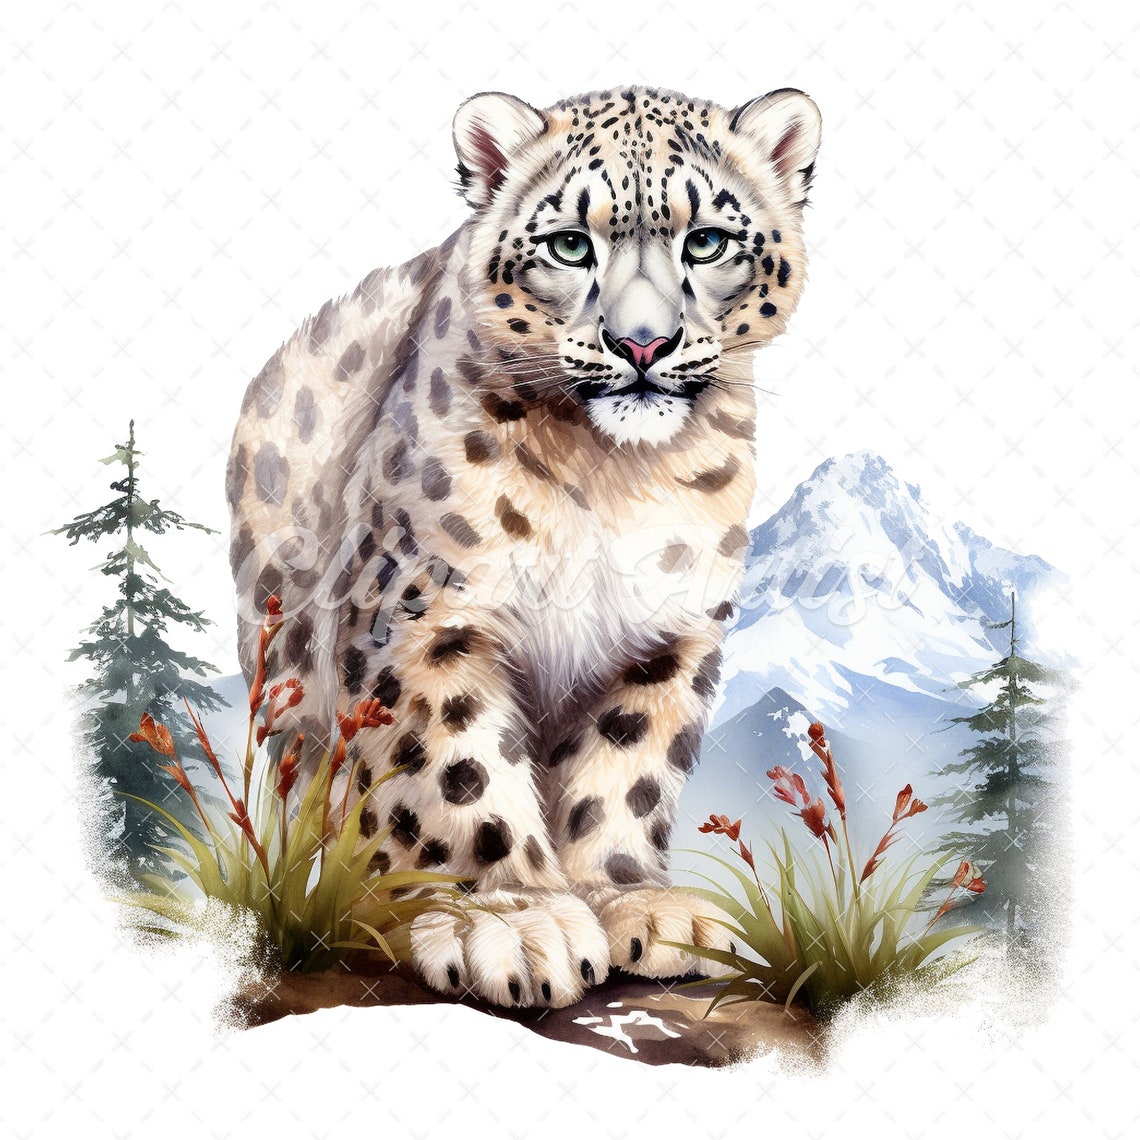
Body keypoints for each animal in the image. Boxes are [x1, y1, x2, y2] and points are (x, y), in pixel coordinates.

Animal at [226, 84, 821, 1009]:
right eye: (570, 243)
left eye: (708, 239)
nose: (642, 343)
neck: (616, 476)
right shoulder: (426, 613)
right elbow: (455, 766)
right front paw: (507, 920)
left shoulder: (663, 639)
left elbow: (626, 775)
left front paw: (637, 905)